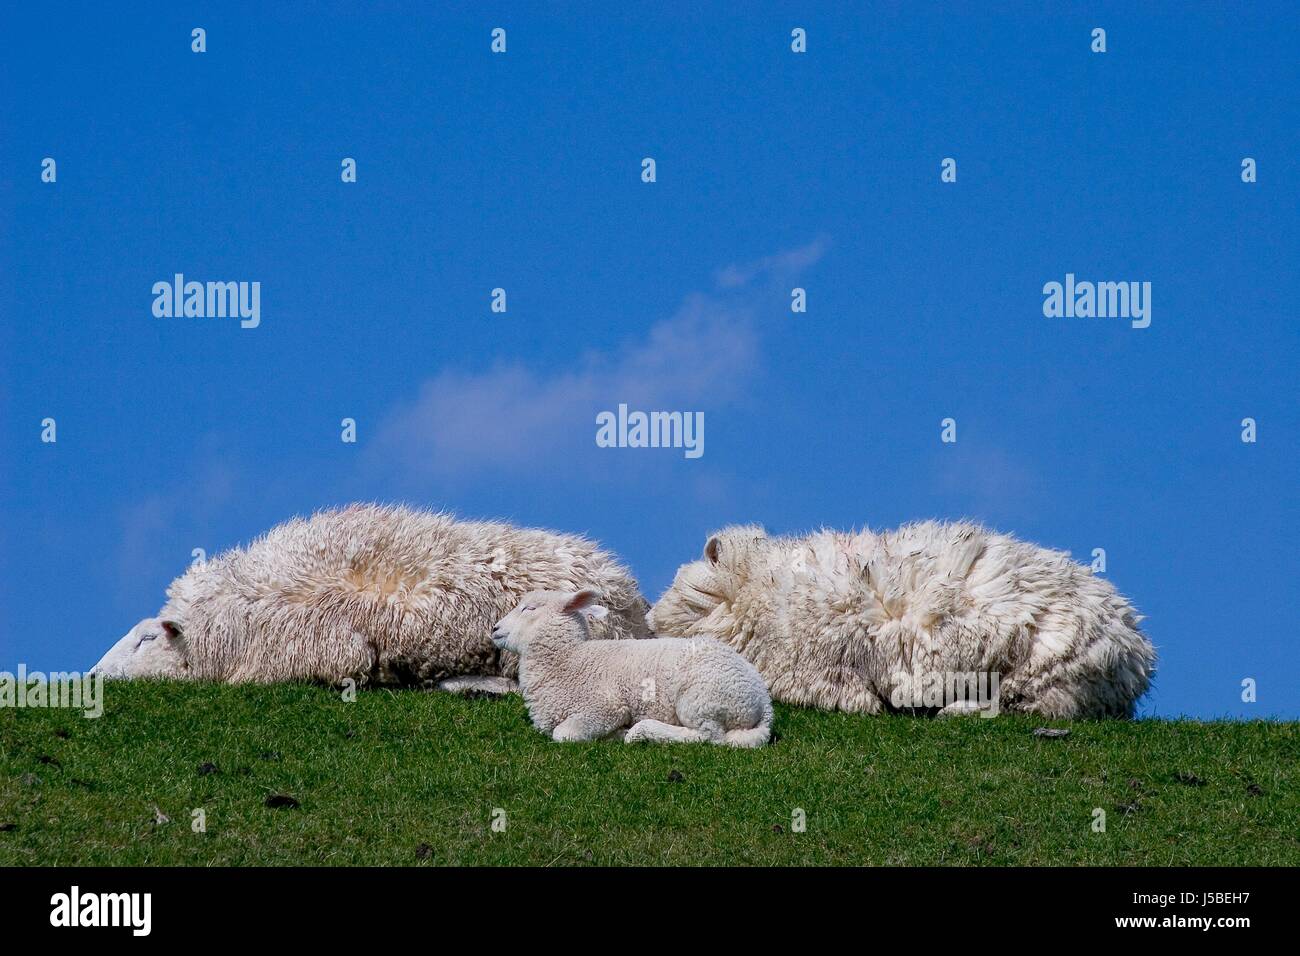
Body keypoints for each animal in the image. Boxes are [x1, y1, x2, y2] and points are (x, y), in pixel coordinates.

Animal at [492, 589, 774, 747]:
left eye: (529, 608)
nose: (494, 629)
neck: (568, 659)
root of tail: (764, 702)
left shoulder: (604, 707)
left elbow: (564, 734)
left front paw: (618, 734)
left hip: (702, 697)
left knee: (707, 735)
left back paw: (641, 732)